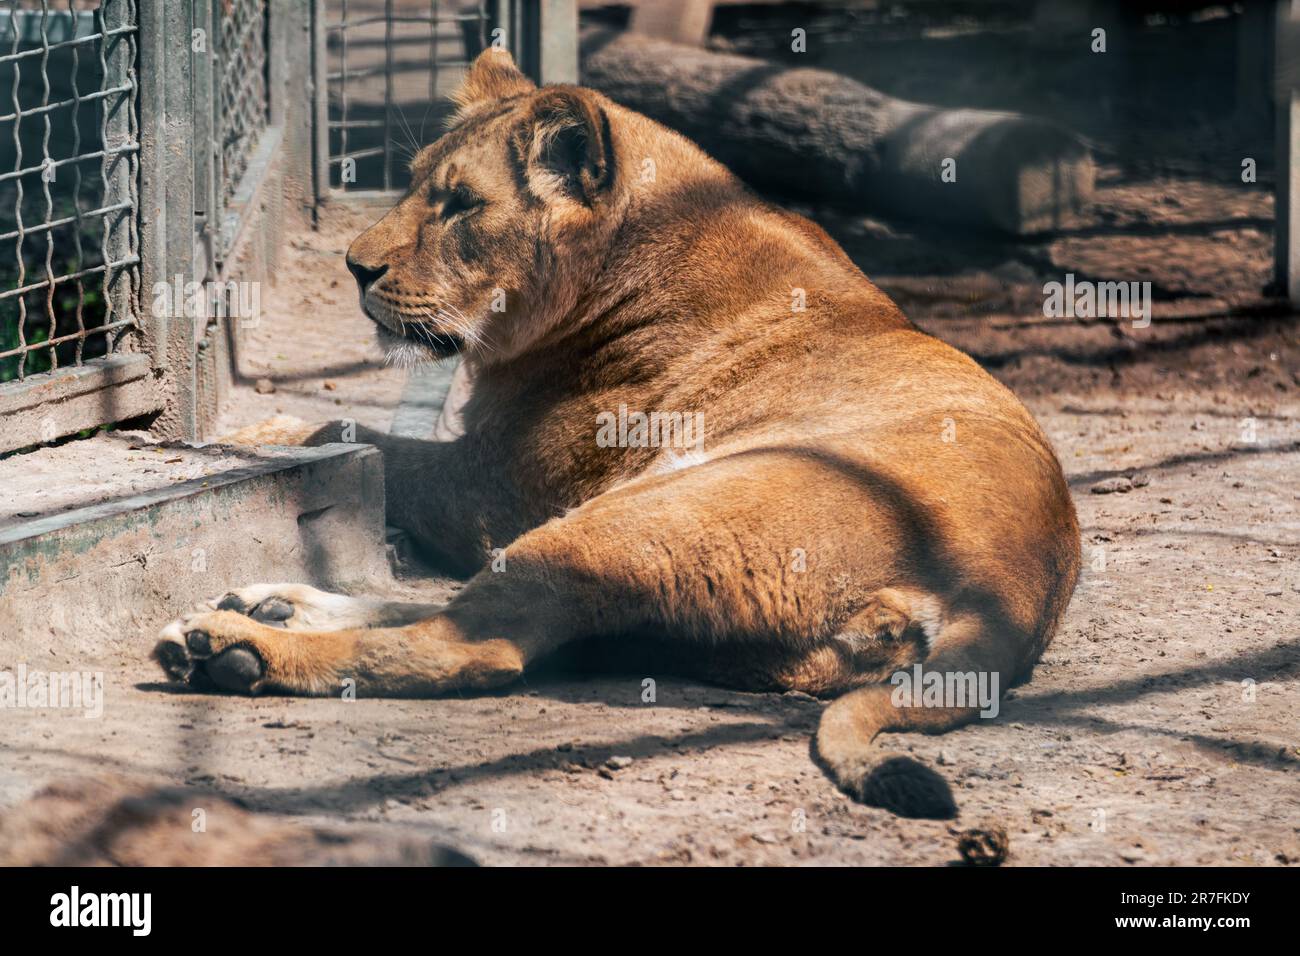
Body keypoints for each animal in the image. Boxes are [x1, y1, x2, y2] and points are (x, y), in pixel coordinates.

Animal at [154, 50, 1080, 818]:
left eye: (462, 205)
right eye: (413, 185)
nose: (354, 267)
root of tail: (1013, 590)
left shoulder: (488, 490)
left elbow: (356, 431)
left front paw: (251, 438)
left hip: (639, 515)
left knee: (475, 647)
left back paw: (234, 648)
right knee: (498, 618)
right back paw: (270, 604)